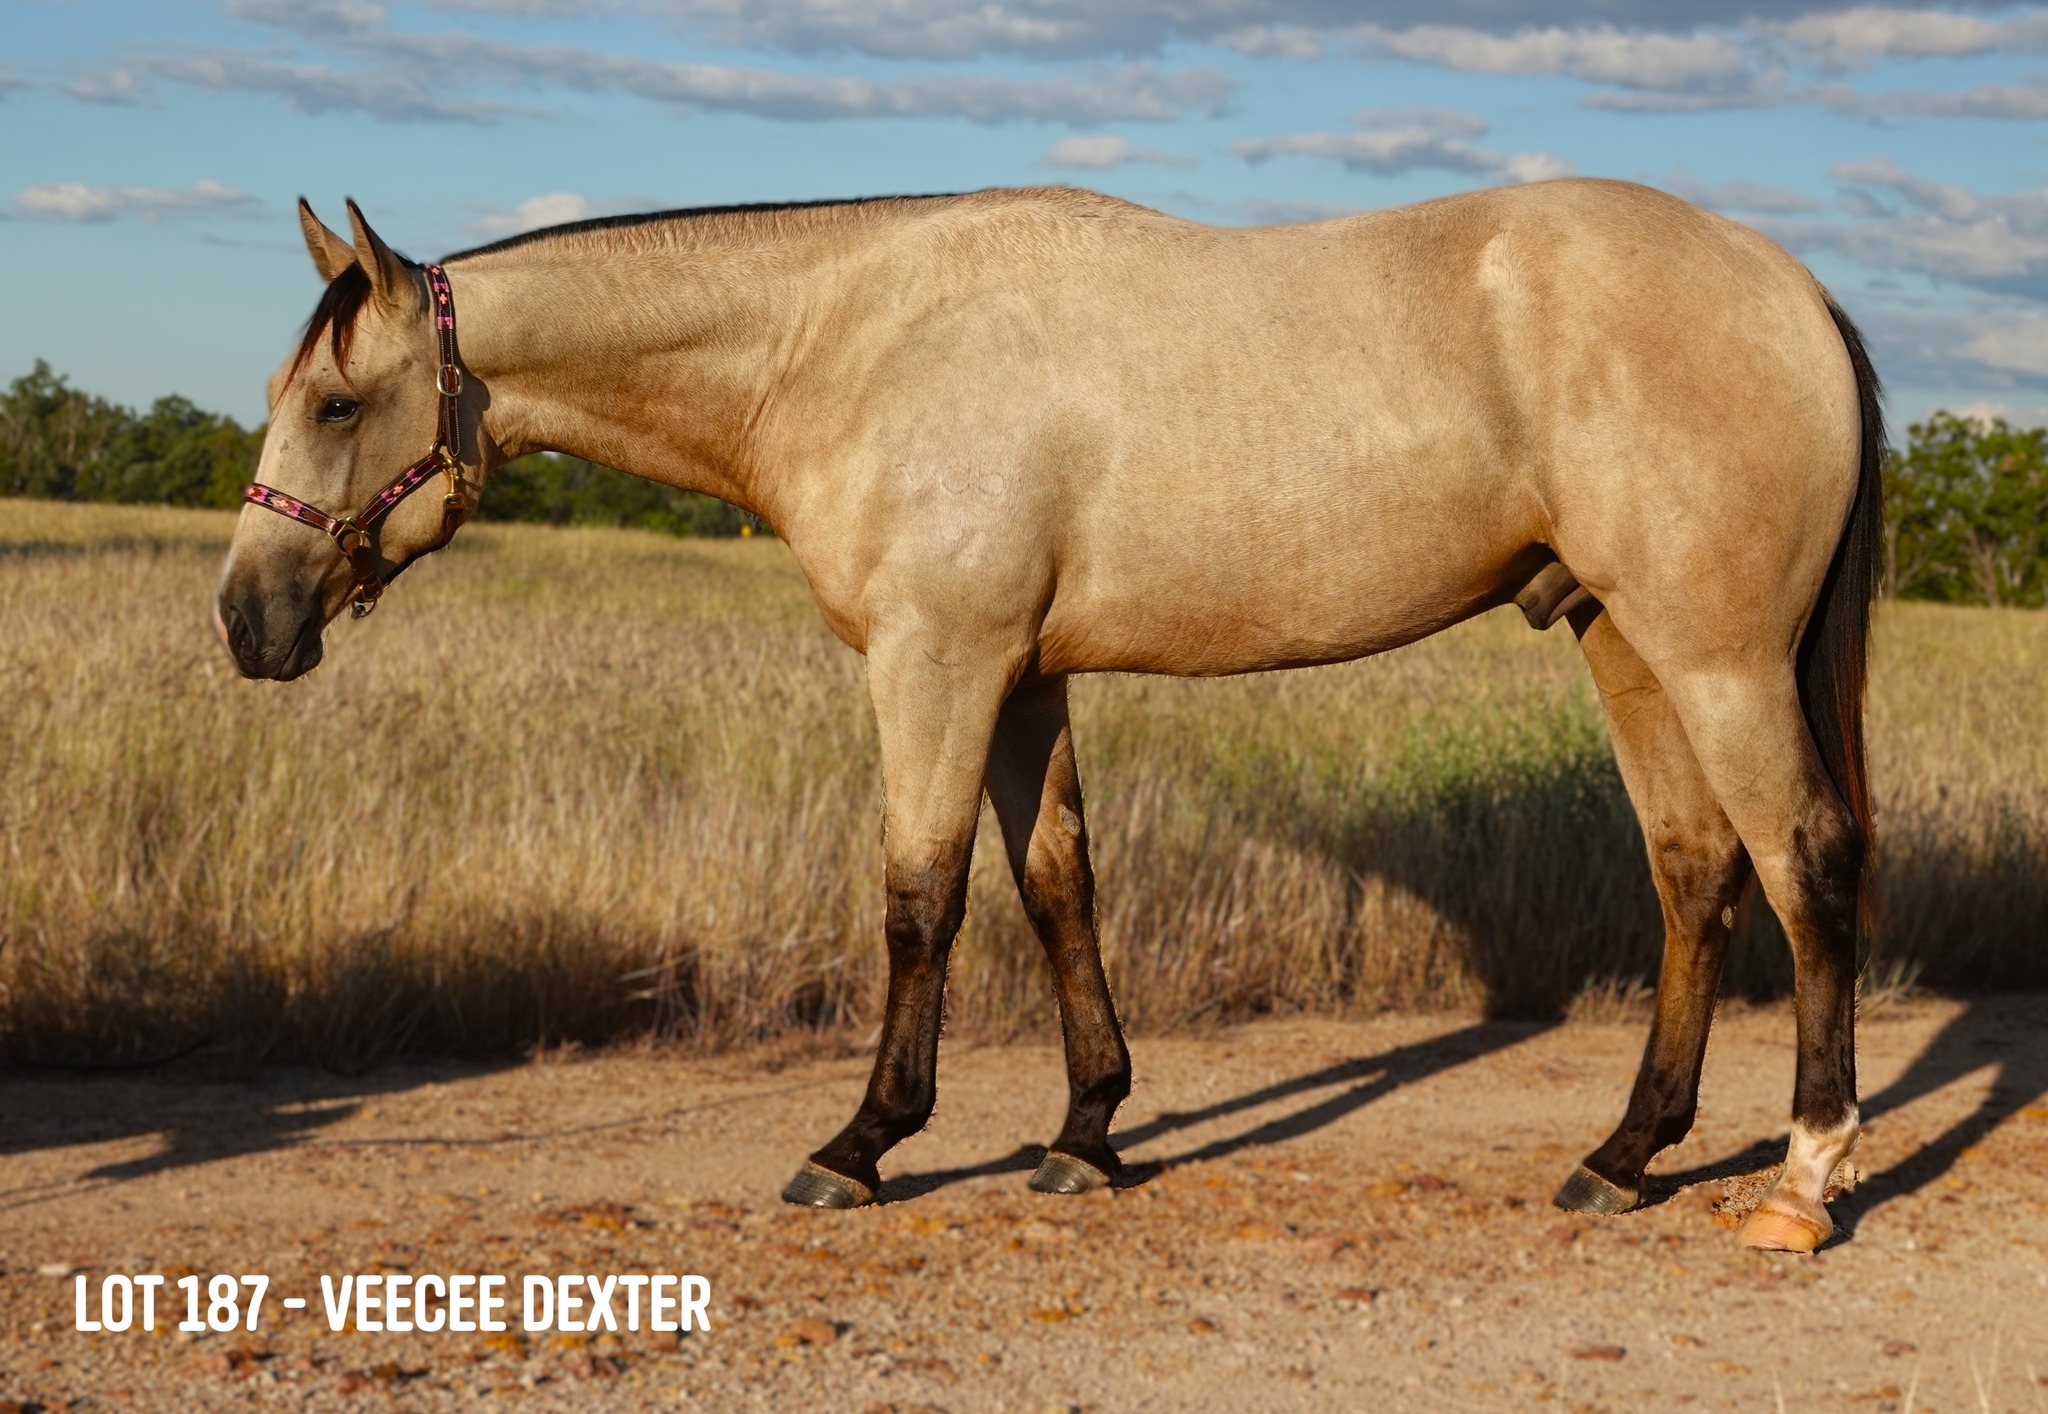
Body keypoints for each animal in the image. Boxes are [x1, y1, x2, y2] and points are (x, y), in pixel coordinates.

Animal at [216, 179, 1883, 1253]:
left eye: (340, 404)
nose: (246, 618)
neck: (846, 345)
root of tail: (1797, 289)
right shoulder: (1021, 678)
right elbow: (1056, 884)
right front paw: (1088, 1134)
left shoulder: (938, 663)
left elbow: (921, 896)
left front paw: (862, 1144)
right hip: (1624, 641)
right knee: (1696, 871)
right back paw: (1625, 1154)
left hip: (1719, 655)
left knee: (1804, 862)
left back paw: (1802, 1179)